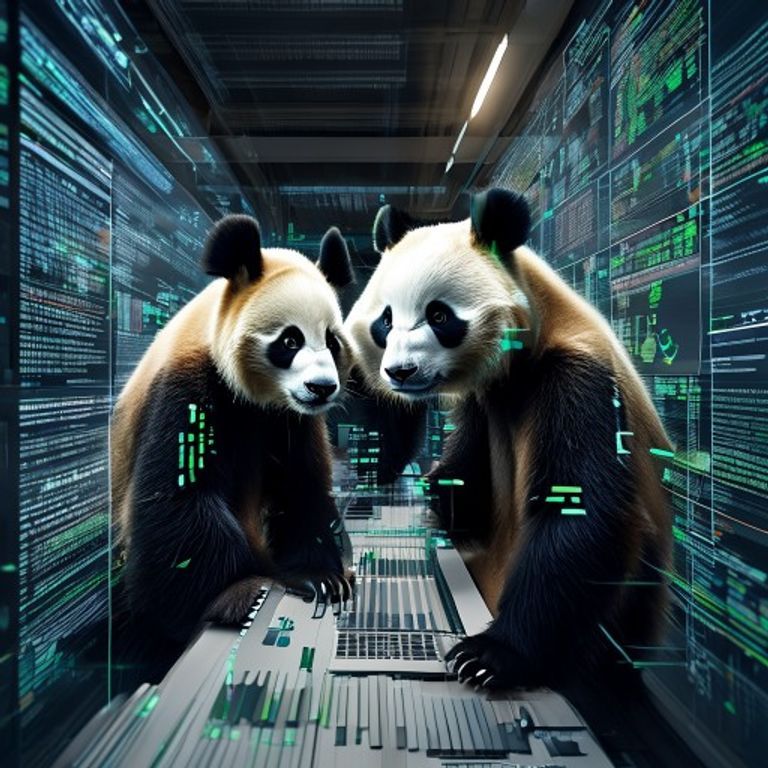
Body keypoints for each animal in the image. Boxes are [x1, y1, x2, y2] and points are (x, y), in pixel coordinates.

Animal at [112, 215, 355, 646]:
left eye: (332, 340)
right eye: (290, 340)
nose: (322, 388)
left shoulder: (290, 420)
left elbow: (302, 486)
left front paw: (320, 577)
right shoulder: (184, 390)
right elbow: (179, 501)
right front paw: (241, 592)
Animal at [343, 189, 672, 688]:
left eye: (438, 315)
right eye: (385, 320)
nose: (399, 372)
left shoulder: (583, 384)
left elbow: (578, 513)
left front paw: (489, 656)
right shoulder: (484, 406)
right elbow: (465, 496)